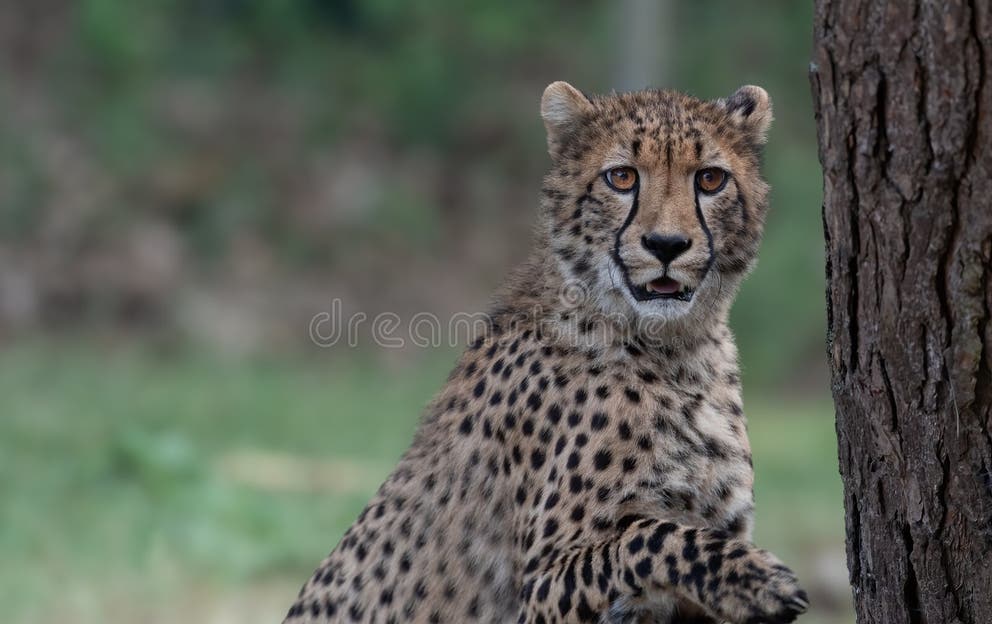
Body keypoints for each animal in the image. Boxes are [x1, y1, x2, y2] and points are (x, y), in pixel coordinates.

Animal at [283, 81, 808, 624]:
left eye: (710, 178)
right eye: (621, 177)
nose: (667, 244)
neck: (678, 353)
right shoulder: (537, 593)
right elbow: (648, 536)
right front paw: (755, 578)